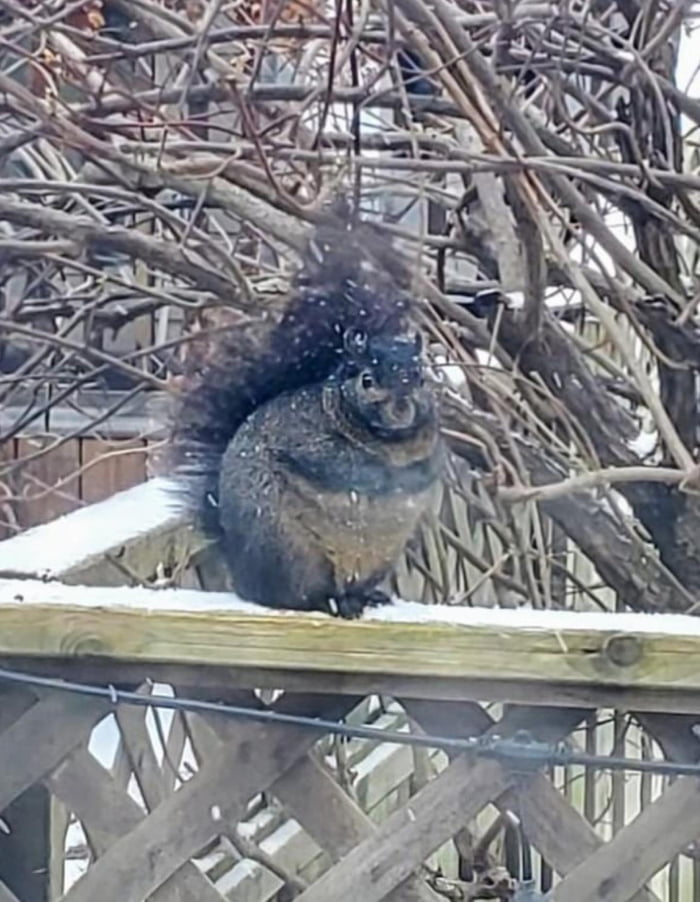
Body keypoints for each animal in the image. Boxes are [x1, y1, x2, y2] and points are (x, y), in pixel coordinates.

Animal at [170, 216, 444, 618]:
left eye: (421, 377)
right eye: (367, 380)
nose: (401, 407)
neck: (389, 441)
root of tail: (242, 574)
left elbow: (430, 466)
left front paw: (418, 474)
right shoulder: (303, 435)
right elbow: (339, 464)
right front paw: (384, 474)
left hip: (377, 559)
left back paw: (366, 596)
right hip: (290, 552)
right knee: (297, 595)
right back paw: (333, 602)